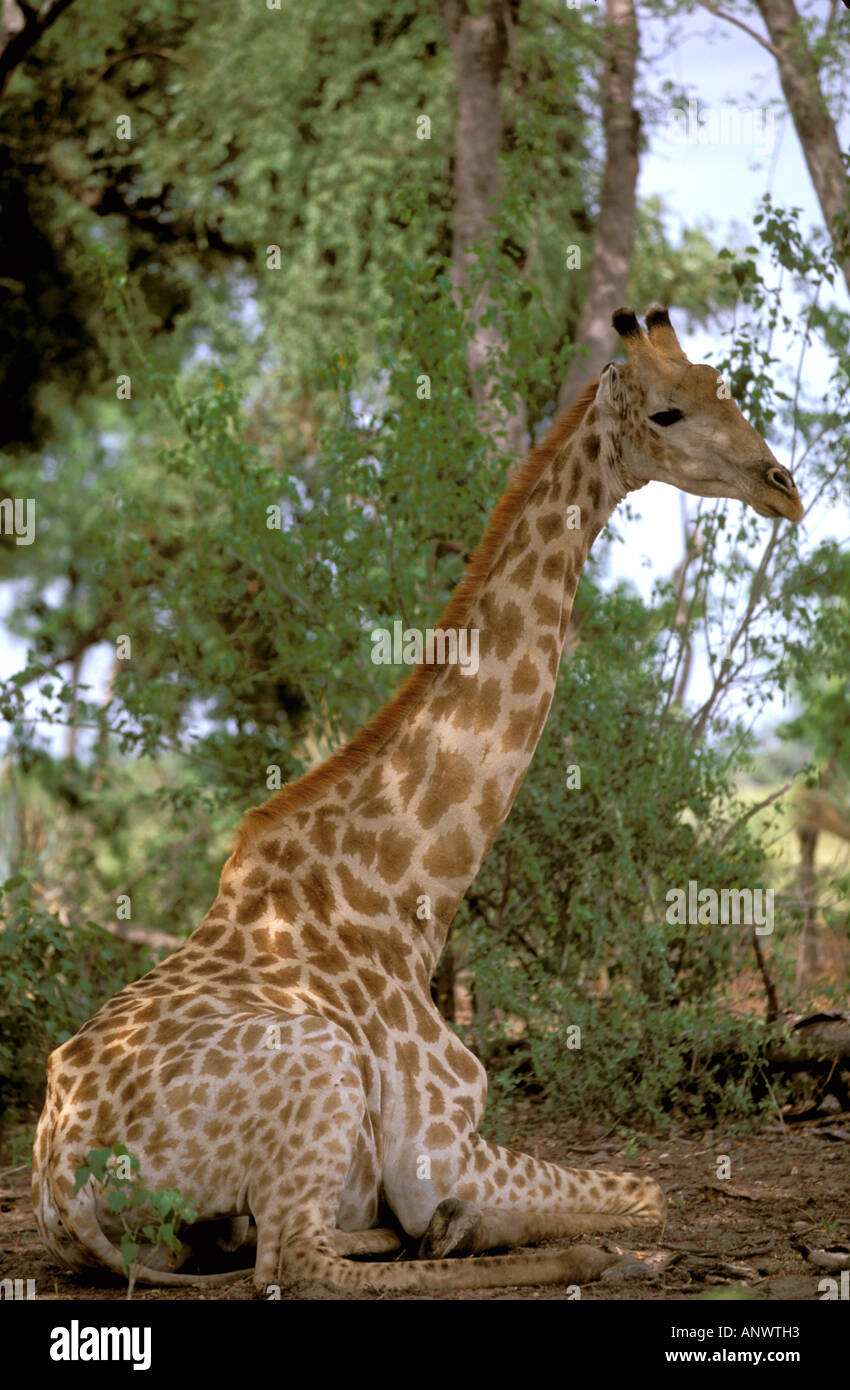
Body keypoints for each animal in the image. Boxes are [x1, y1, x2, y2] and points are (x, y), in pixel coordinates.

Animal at [32, 305, 803, 1294]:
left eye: (724, 390)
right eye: (667, 413)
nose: (783, 487)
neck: (404, 894)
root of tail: (67, 1187)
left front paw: (462, 1226)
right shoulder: (437, 1146)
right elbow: (649, 1191)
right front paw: (517, 1231)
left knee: (277, 1245)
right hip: (320, 1074)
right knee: (302, 1263)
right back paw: (573, 1254)